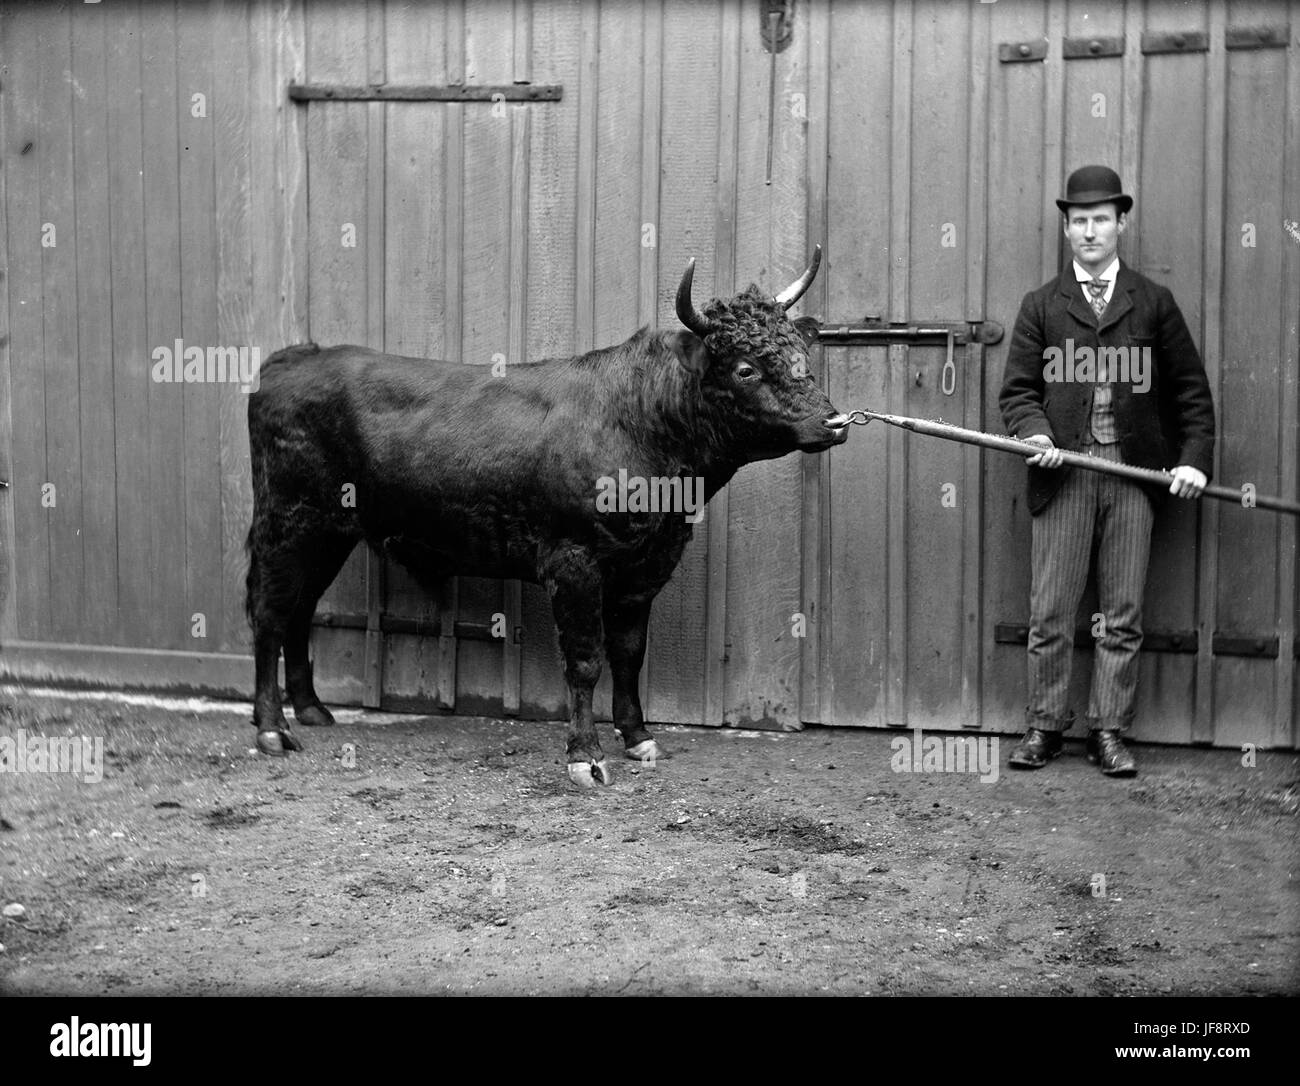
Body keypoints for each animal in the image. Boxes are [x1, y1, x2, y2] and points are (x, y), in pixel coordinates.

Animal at [245, 247, 850, 787]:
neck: (641, 423)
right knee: (271, 613)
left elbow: (628, 653)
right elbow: (584, 659)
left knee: (300, 610)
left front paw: (638, 737)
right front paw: (586, 756)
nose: (834, 421)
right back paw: (273, 729)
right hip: (289, 522)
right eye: (746, 368)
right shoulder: (573, 559)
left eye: (798, 352)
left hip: (329, 534)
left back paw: (312, 710)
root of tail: (296, 358)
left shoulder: (644, 566)